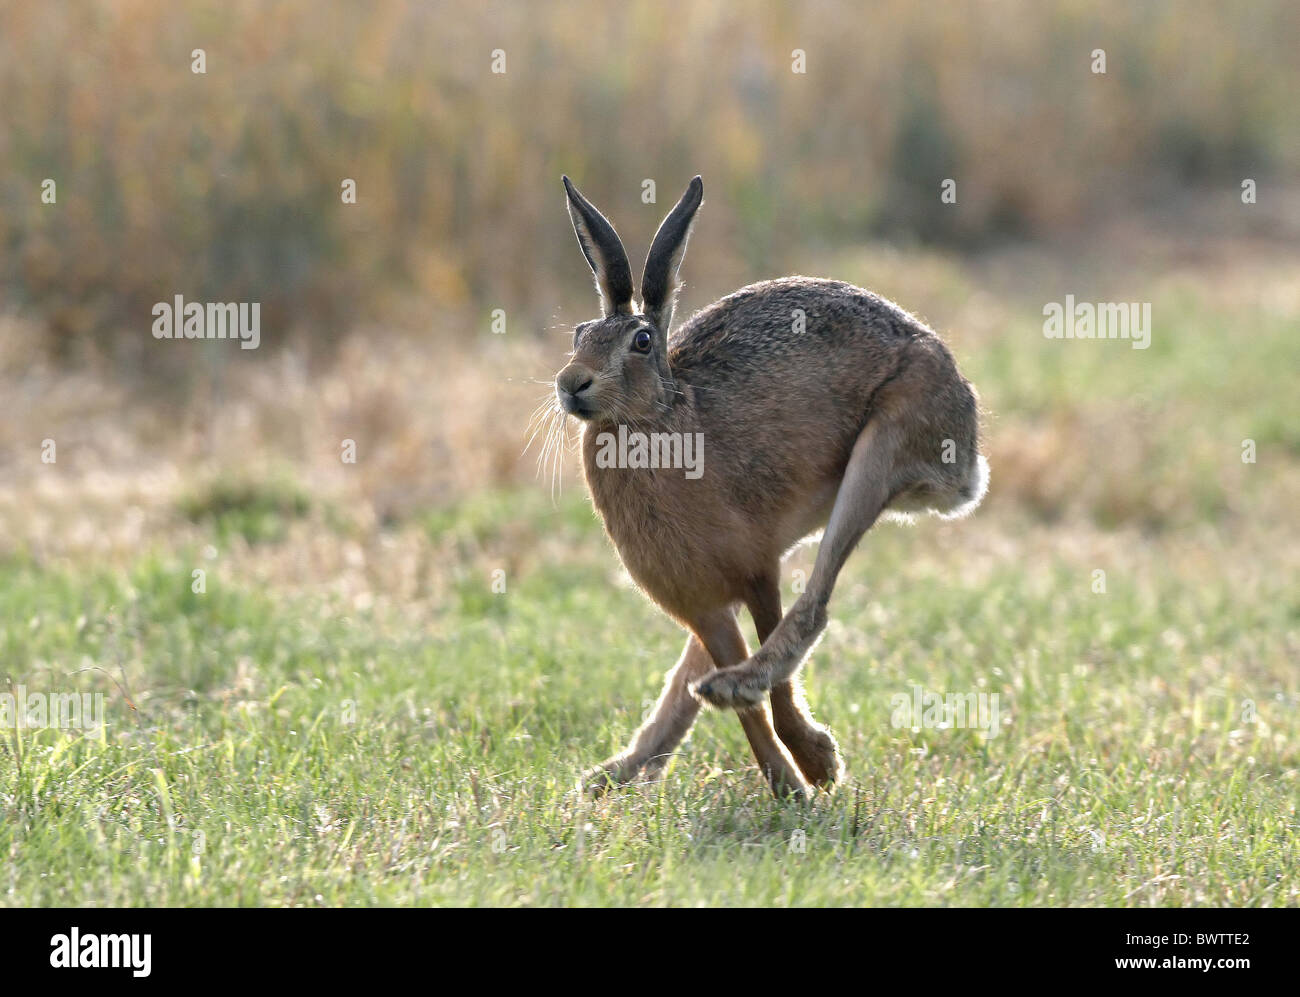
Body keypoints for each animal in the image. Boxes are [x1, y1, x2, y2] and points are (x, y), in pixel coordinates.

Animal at [554, 175, 988, 799]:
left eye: (640, 342)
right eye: (580, 335)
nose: (571, 383)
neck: (657, 416)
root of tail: (969, 449)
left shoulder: (757, 574)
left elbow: (774, 690)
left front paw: (815, 769)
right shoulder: (702, 603)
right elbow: (750, 712)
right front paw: (791, 784)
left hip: (885, 445)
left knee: (813, 608)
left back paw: (732, 697)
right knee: (700, 674)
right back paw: (612, 775)